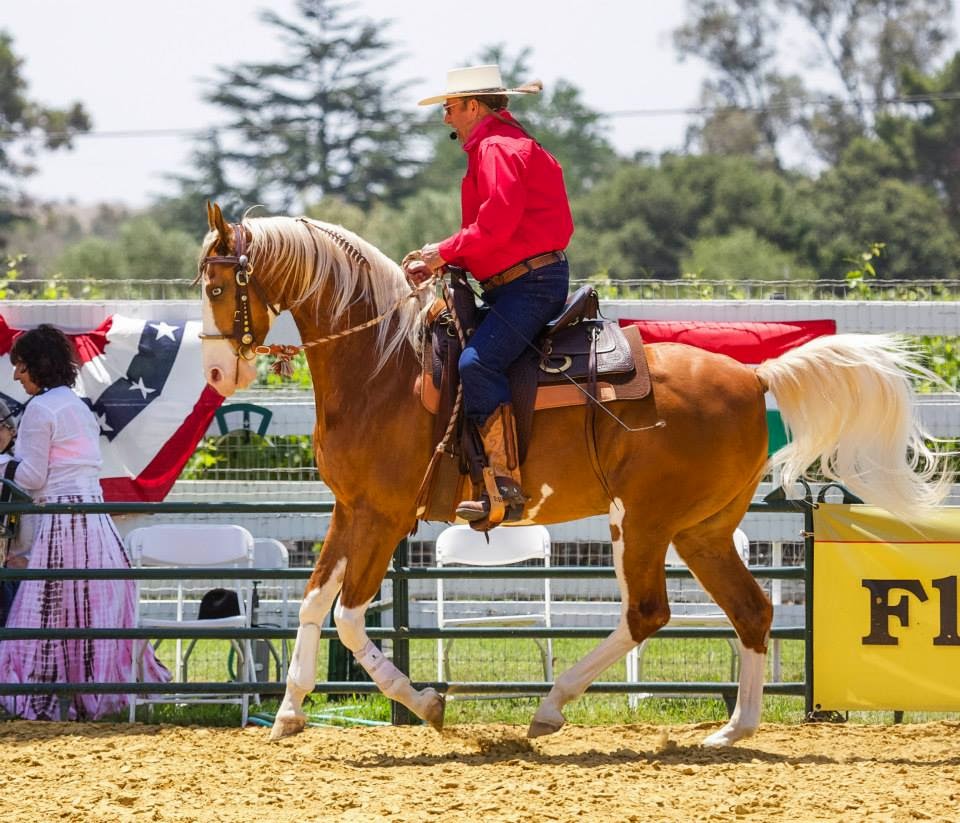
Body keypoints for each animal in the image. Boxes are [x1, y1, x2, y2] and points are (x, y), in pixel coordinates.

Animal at [197, 202, 949, 747]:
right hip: (702, 529)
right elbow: (312, 602)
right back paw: (732, 731)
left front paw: (428, 703)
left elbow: (350, 618)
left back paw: (552, 706)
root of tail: (753, 374)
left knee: (648, 612)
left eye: (217, 283)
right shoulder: (350, 508)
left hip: (642, 520)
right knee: (751, 610)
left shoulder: (386, 513)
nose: (215, 373)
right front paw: (290, 712)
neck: (386, 363)